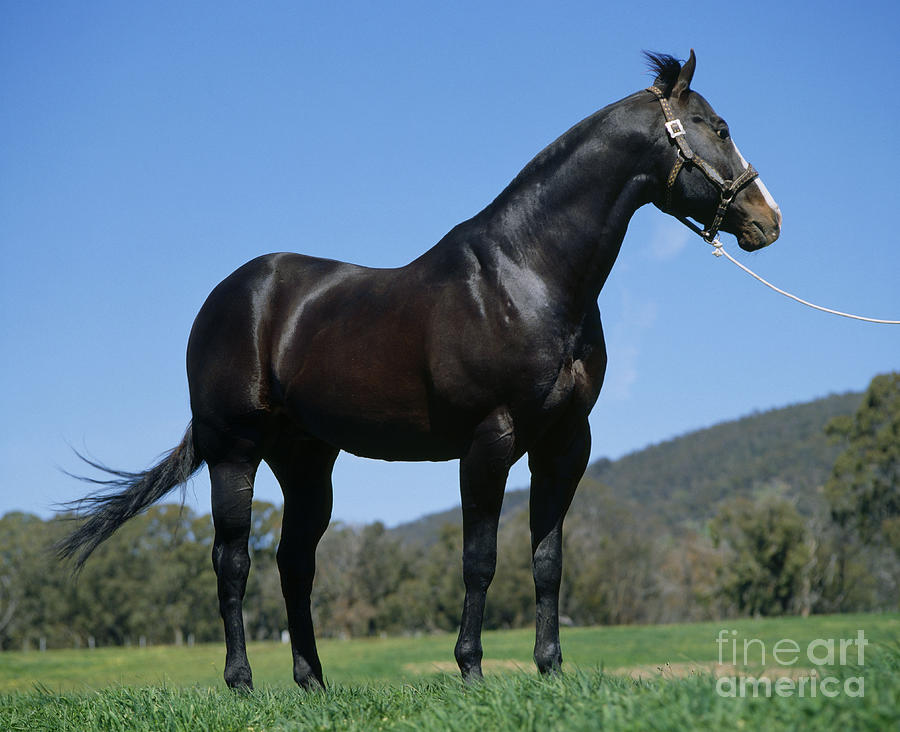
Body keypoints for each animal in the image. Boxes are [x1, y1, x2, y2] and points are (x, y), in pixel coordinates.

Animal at [59, 50, 781, 690]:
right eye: (718, 127)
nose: (768, 221)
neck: (528, 275)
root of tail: (228, 296)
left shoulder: (565, 442)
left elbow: (548, 561)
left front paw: (550, 670)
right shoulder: (490, 440)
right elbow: (480, 560)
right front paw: (472, 670)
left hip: (306, 461)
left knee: (295, 565)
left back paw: (312, 683)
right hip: (233, 451)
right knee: (232, 563)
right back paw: (241, 682)